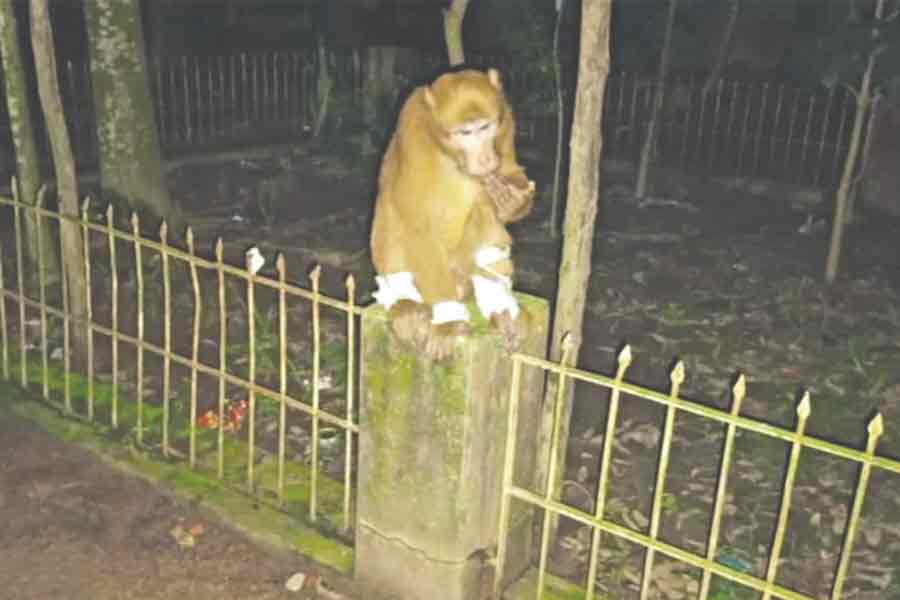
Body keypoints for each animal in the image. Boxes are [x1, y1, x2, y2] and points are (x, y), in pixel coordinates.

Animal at [370, 68, 535, 360]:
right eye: (465, 133)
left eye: (485, 128)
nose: (485, 159)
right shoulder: (413, 129)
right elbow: (416, 219)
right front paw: (448, 321)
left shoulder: (506, 121)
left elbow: (508, 173)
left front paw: (513, 202)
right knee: (390, 208)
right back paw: (404, 301)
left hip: (463, 264)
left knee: (482, 200)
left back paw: (498, 299)